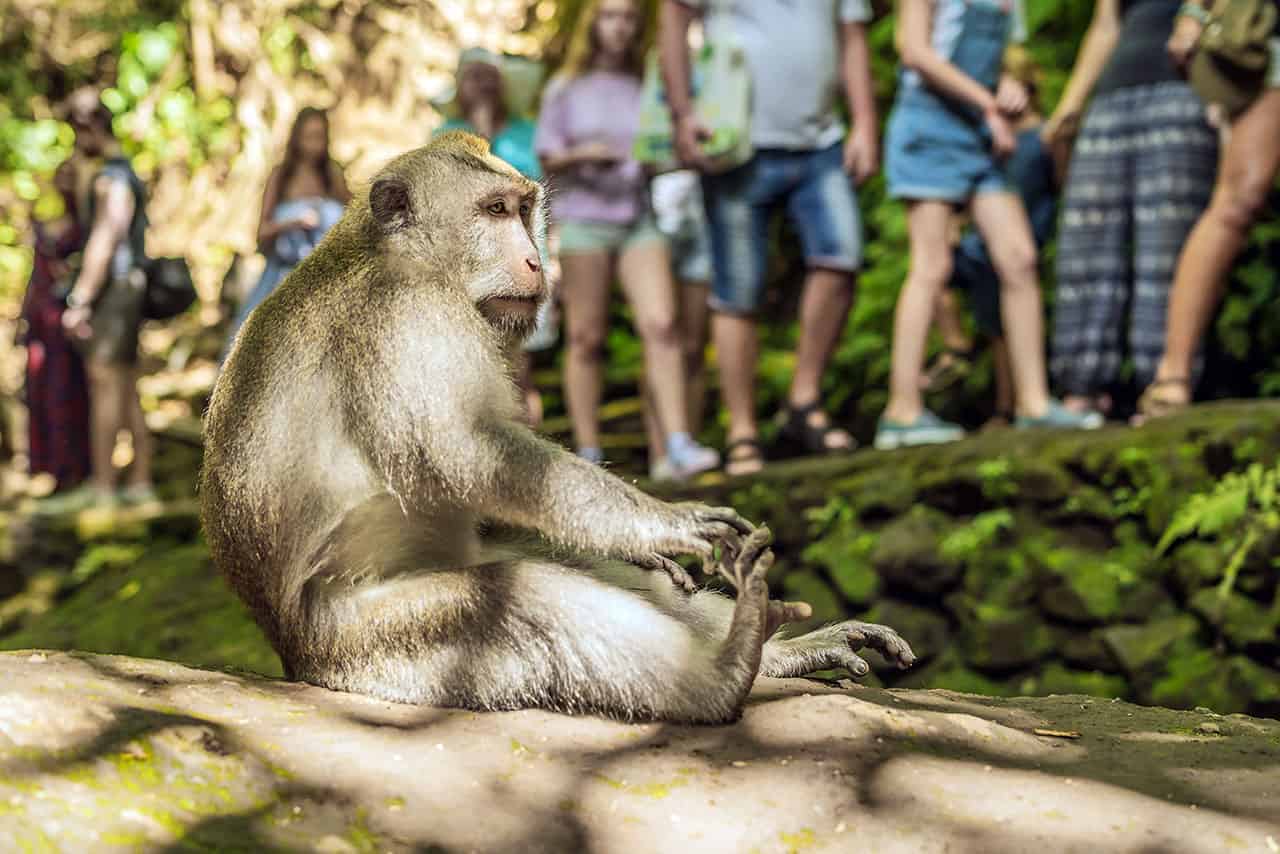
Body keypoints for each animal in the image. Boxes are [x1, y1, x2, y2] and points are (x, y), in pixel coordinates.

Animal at [200, 132, 915, 724]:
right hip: (374, 649)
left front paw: (647, 544)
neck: (403, 258)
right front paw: (663, 523)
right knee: (517, 596)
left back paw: (776, 649)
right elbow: (469, 451)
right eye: (493, 212)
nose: (537, 263)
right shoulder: (401, 317)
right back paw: (725, 673)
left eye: (523, 211)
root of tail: (291, 652)